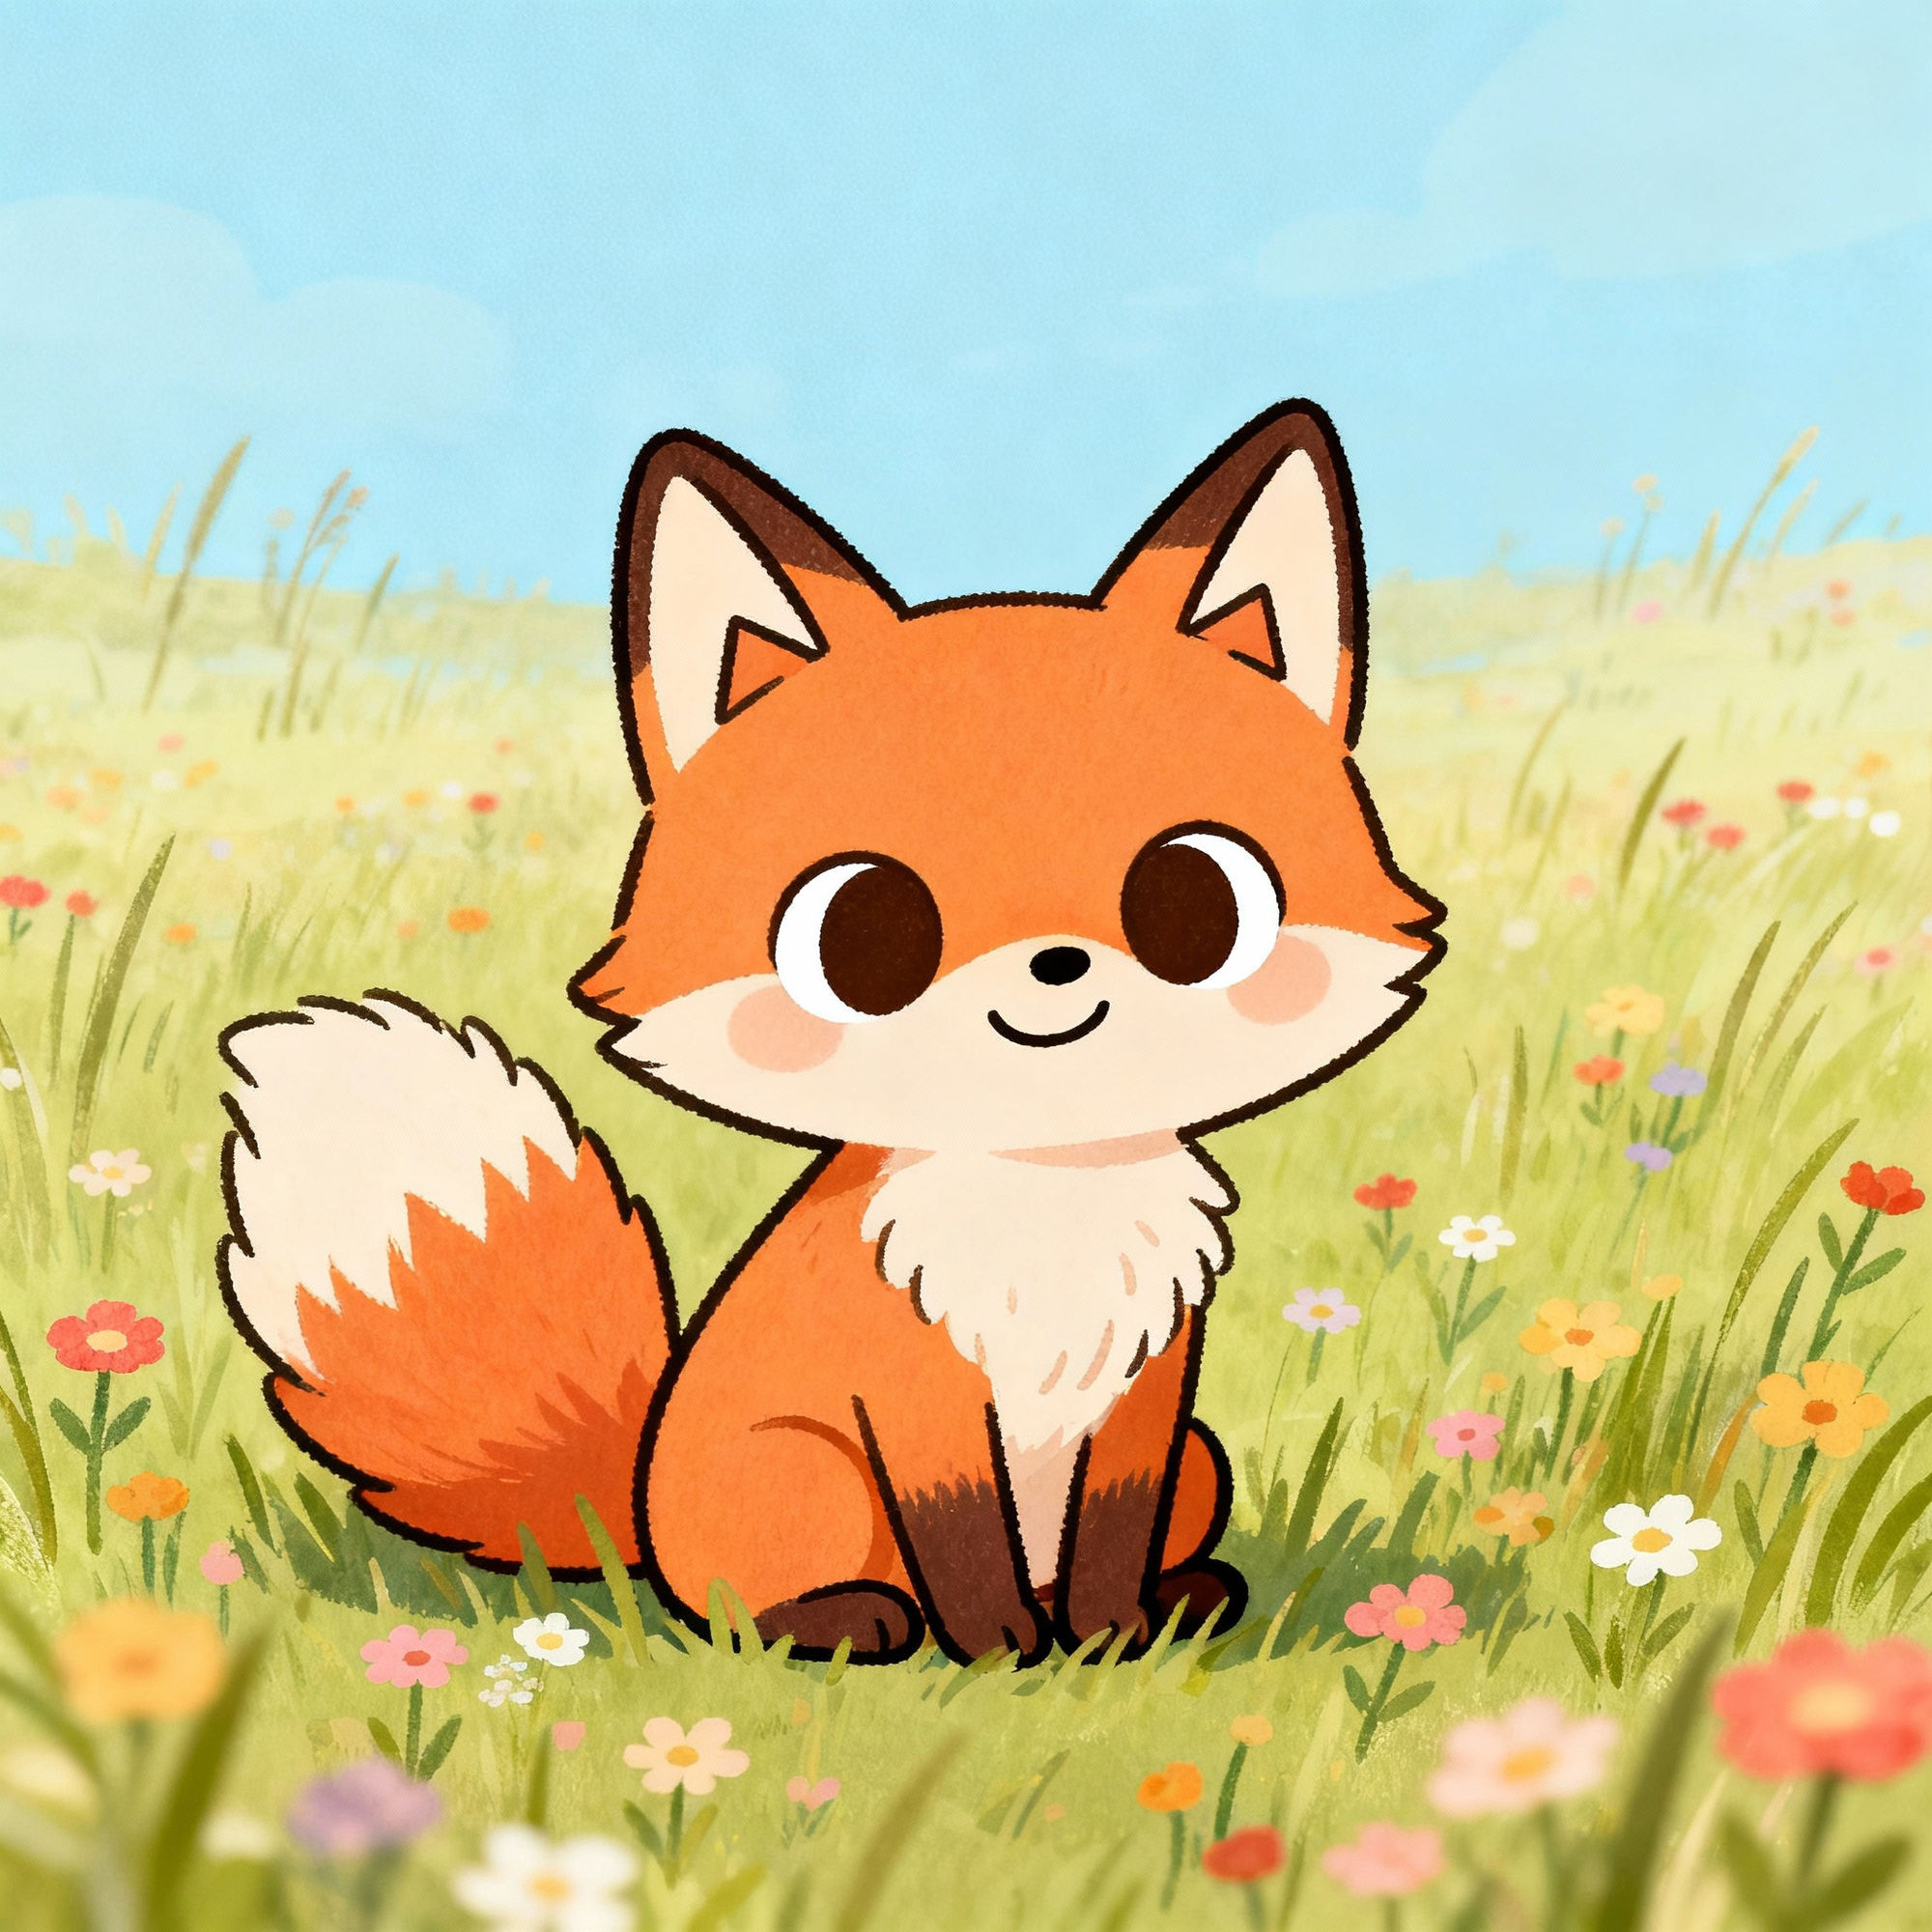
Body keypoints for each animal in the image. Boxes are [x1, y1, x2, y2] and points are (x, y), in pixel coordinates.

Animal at [215, 400, 1444, 1666]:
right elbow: (958, 1535)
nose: (1055, 967)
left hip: (1196, 1455)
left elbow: (1110, 1533)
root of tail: (634, 1511)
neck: (1038, 1195)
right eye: (861, 927)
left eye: (1197, 900)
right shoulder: (913, 1403)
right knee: (736, 1604)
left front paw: (1106, 1637)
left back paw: (1182, 1595)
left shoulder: (1144, 1400)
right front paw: (997, 1646)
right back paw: (851, 1619)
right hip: (800, 1470)